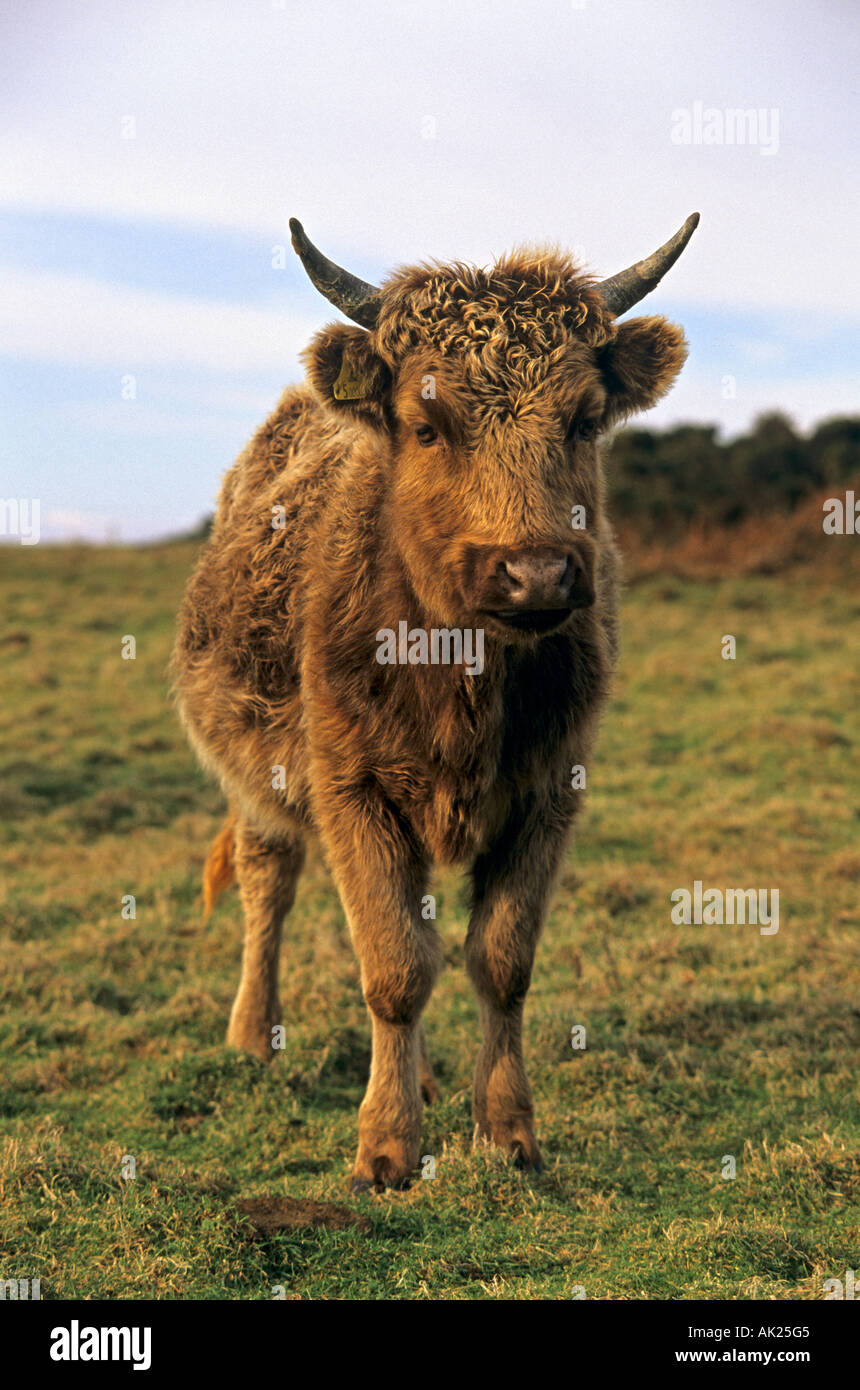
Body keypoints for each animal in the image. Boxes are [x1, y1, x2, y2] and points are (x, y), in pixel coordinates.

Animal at [171, 213, 699, 1191]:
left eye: (585, 420)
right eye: (425, 425)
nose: (536, 572)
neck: (463, 678)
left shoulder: (550, 793)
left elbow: (500, 960)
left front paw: (509, 1131)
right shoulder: (350, 788)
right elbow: (394, 972)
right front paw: (386, 1148)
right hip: (258, 778)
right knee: (270, 882)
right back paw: (252, 1039)